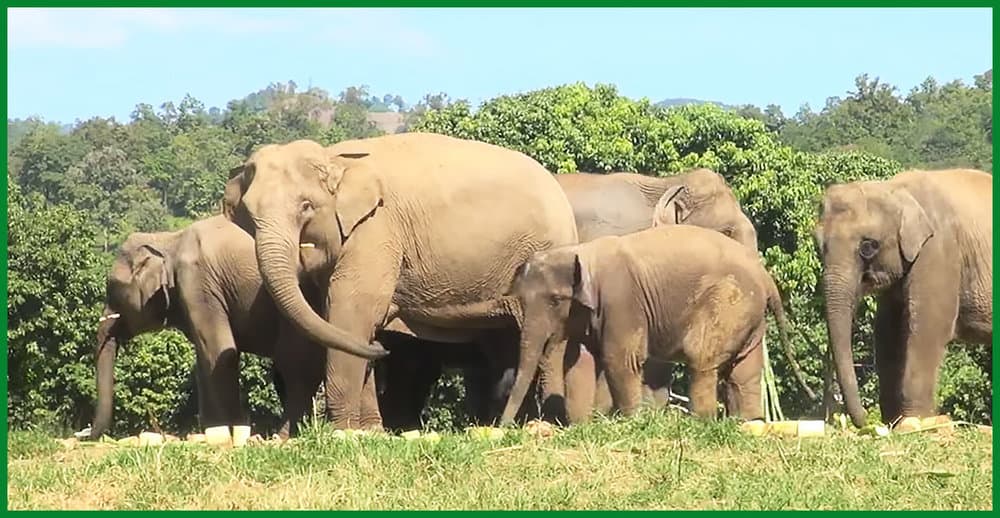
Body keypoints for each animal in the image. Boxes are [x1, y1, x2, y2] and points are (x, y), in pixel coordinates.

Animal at [92, 214, 380, 440]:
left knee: (294, 365)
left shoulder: (198, 285)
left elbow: (220, 350)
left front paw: (230, 430)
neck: (169, 239)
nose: (85, 435)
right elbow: (204, 361)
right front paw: (213, 431)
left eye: (112, 287)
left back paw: (283, 436)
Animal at [222, 133, 580, 429]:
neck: (335, 159)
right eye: (249, 216)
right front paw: (369, 430)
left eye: (306, 207)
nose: (383, 348)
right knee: (504, 342)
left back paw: (542, 425)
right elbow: (335, 327)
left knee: (542, 341)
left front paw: (342, 431)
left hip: (545, 250)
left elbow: (351, 314)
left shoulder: (375, 231)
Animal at [500, 224, 803, 423]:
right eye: (521, 301)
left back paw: (700, 423)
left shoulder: (621, 299)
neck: (581, 252)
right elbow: (579, 362)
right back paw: (747, 423)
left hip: (730, 302)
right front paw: (589, 423)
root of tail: (765, 277)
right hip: (750, 316)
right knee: (744, 370)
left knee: (702, 357)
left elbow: (620, 359)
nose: (503, 428)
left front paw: (629, 421)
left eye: (554, 300)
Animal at [815, 168, 992, 428]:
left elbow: (927, 328)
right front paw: (893, 421)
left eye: (869, 246)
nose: (866, 420)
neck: (894, 189)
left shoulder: (938, 250)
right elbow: (887, 333)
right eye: (818, 246)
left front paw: (913, 421)